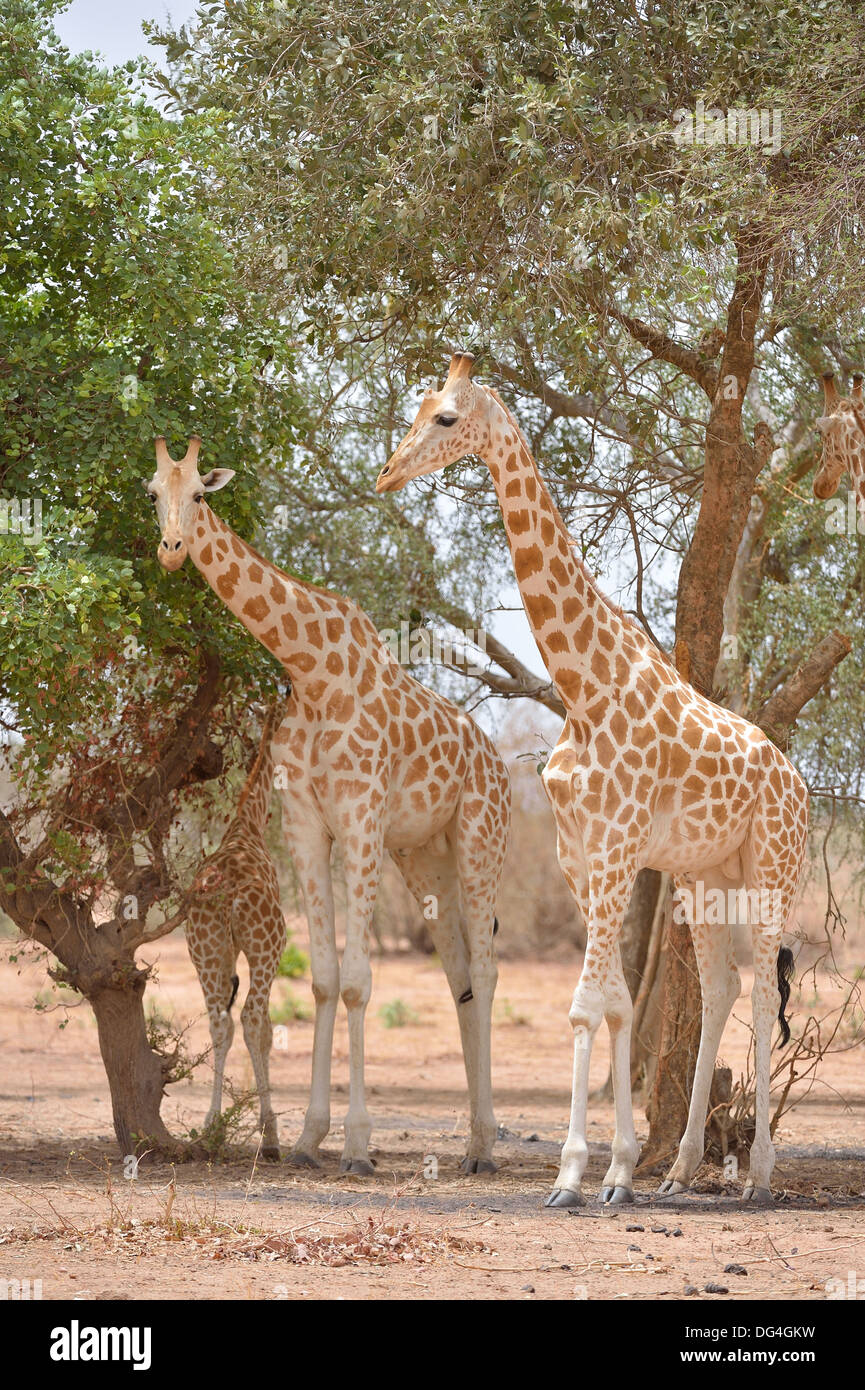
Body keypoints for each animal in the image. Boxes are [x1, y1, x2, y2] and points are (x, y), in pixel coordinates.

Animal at [145, 435, 510, 1175]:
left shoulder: (361, 817)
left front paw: (359, 1145)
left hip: (478, 839)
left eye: (198, 492)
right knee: (459, 976)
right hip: (424, 858)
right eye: (151, 491)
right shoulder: (308, 824)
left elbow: (357, 982)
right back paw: (472, 1140)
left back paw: (486, 1147)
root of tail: (500, 765)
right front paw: (310, 1138)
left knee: (486, 973)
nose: (171, 548)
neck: (310, 670)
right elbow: (318, 980)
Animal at [377, 353, 808, 1208]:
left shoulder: (612, 851)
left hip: (773, 866)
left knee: (764, 987)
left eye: (445, 417)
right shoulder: (581, 856)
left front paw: (575, 1176)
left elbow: (585, 1005)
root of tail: (803, 787)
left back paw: (759, 1176)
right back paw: (676, 1170)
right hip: (705, 876)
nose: (386, 474)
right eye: (415, 407)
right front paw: (615, 1171)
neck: (583, 685)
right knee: (720, 986)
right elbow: (607, 1003)